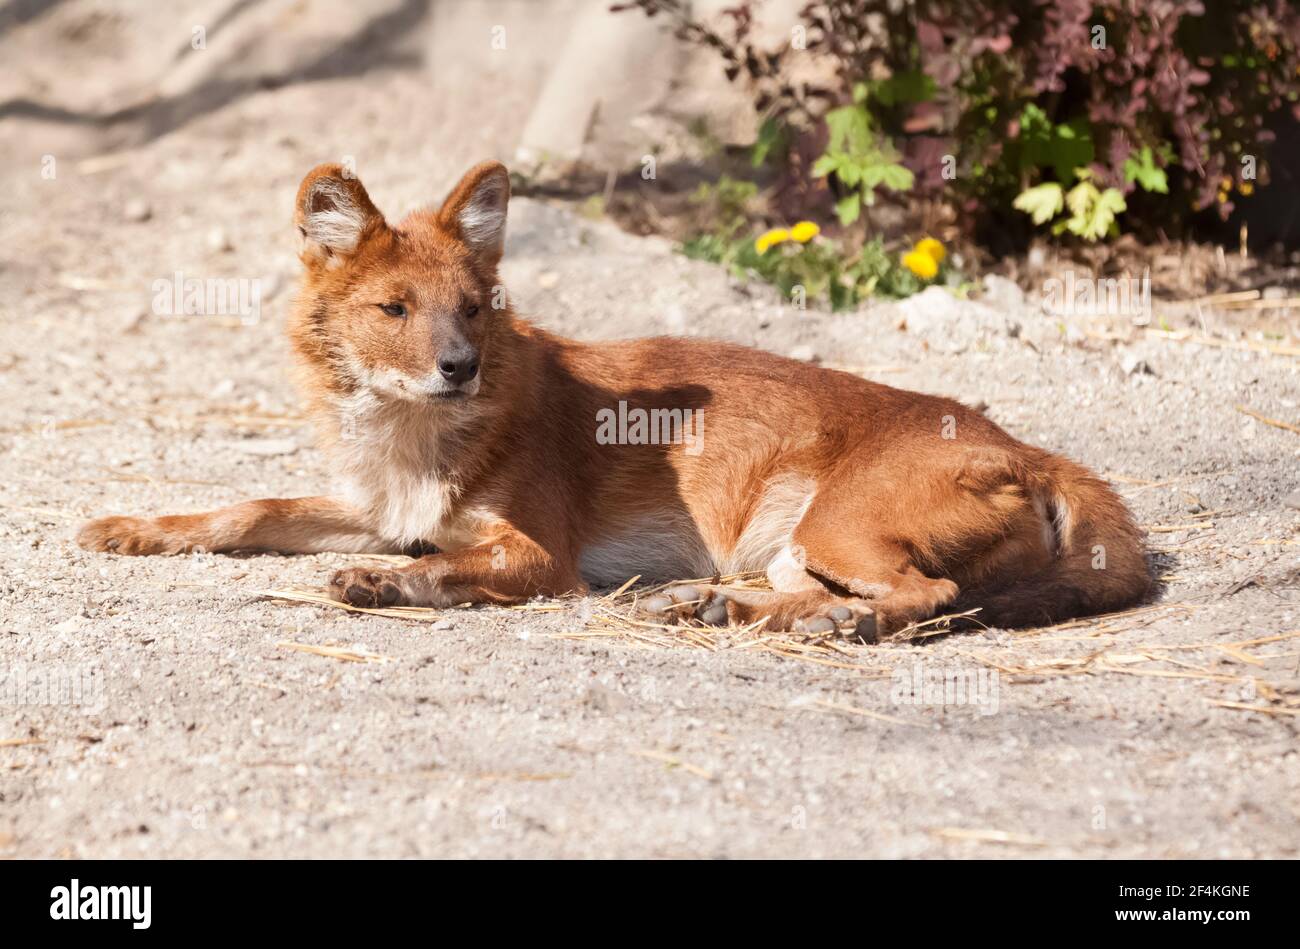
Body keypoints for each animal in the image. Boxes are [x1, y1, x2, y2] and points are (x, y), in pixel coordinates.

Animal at [77, 160, 1152, 639]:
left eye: (472, 309)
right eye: (395, 309)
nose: (458, 364)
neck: (413, 431)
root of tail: (1030, 447)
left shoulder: (537, 553)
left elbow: (442, 569)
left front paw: (381, 585)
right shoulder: (382, 508)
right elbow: (249, 506)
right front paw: (132, 527)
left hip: (838, 519)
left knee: (926, 596)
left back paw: (806, 622)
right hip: (795, 538)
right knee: (835, 591)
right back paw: (712, 602)